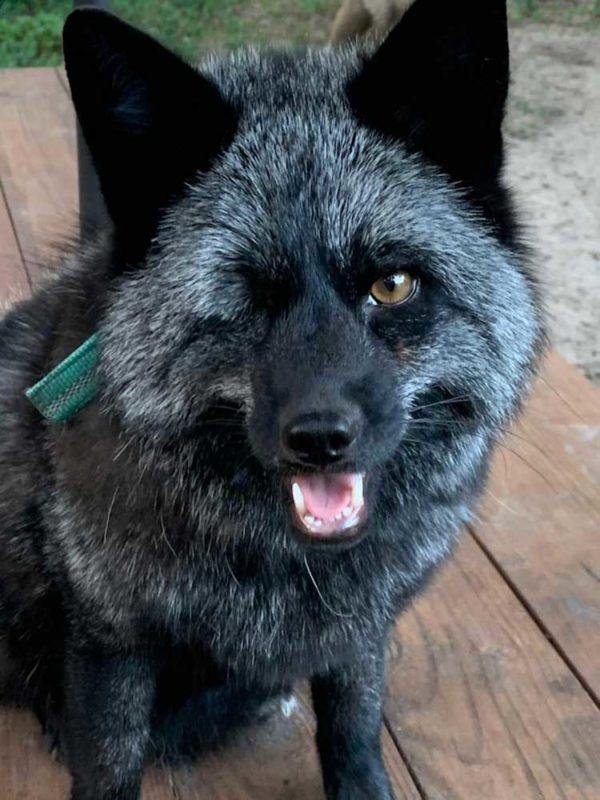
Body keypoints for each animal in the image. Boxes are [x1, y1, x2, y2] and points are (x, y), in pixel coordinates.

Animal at [0, 1, 543, 798]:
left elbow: (353, 727)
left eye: (392, 285)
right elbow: (109, 763)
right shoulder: (109, 639)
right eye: (244, 296)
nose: (321, 437)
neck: (282, 571)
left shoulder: (359, 630)